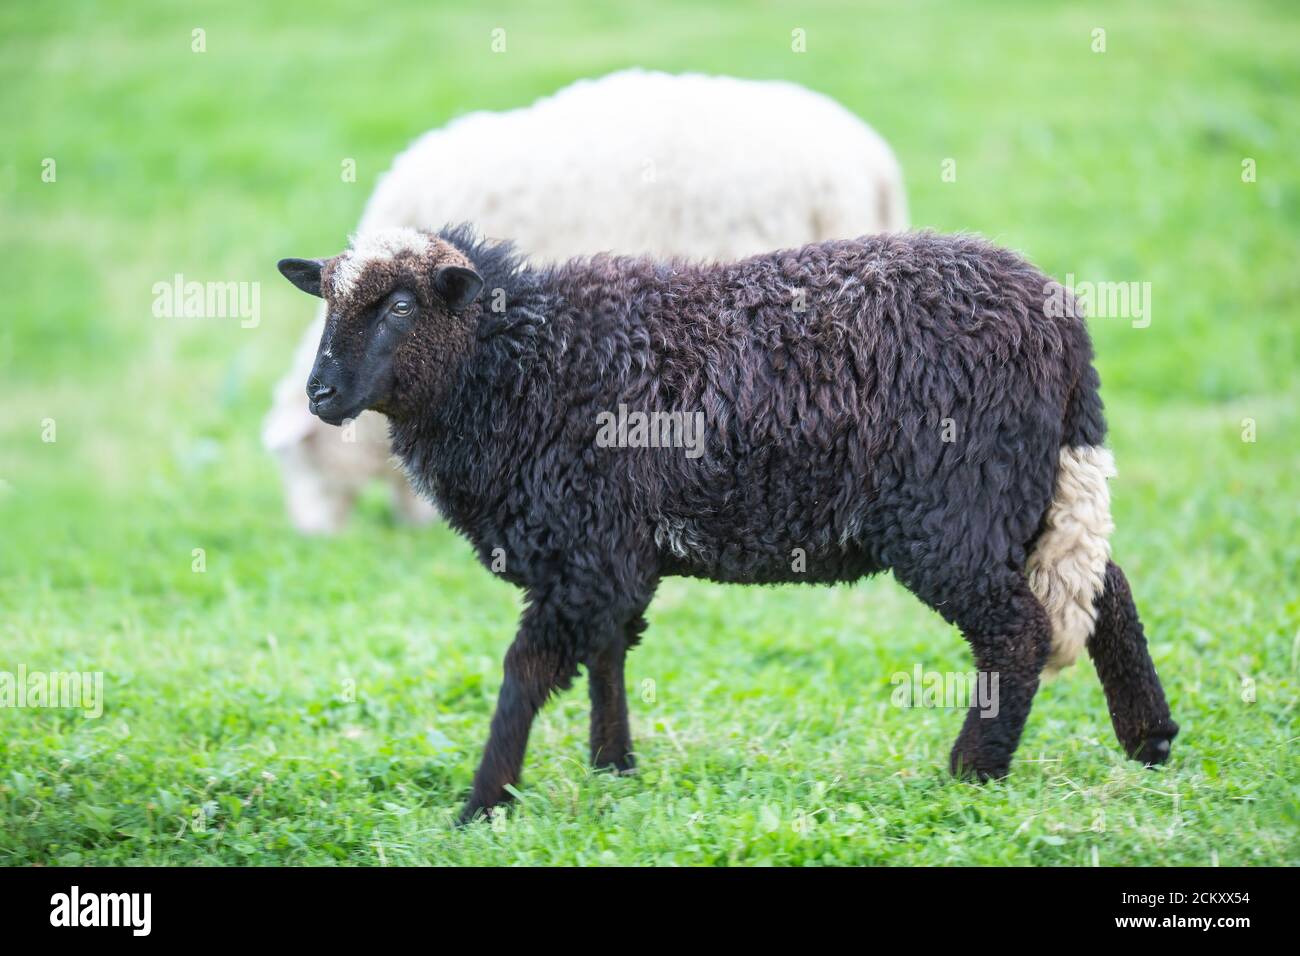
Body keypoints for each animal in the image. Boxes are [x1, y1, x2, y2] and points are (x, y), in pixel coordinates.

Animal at [275, 223, 1178, 824]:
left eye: (399, 306)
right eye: (327, 303)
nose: (321, 395)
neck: (519, 365)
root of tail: (1061, 323)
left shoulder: (585, 550)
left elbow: (527, 671)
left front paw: (482, 802)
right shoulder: (611, 555)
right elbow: (608, 656)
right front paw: (615, 770)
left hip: (955, 510)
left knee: (1019, 628)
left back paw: (973, 772)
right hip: (1028, 494)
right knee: (1105, 588)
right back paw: (1152, 741)